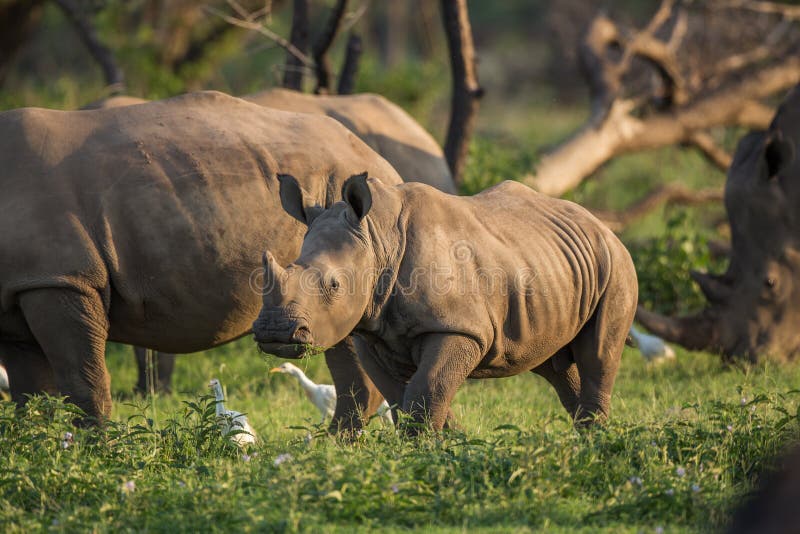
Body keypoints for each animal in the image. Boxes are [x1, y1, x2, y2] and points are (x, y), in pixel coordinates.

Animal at [0, 91, 403, 426]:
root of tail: (379, 159)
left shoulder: (61, 279)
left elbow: (82, 382)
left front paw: (93, 456)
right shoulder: (19, 289)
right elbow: (30, 394)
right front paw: (39, 446)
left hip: (343, 196)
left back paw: (330, 445)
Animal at [253, 175, 638, 430]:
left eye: (333, 284)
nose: (276, 331)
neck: (377, 240)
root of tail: (601, 224)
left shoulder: (459, 328)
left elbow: (428, 389)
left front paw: (429, 451)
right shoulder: (371, 332)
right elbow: (404, 396)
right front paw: (450, 445)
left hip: (616, 263)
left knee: (598, 353)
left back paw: (597, 443)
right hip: (546, 265)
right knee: (552, 362)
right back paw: (585, 439)